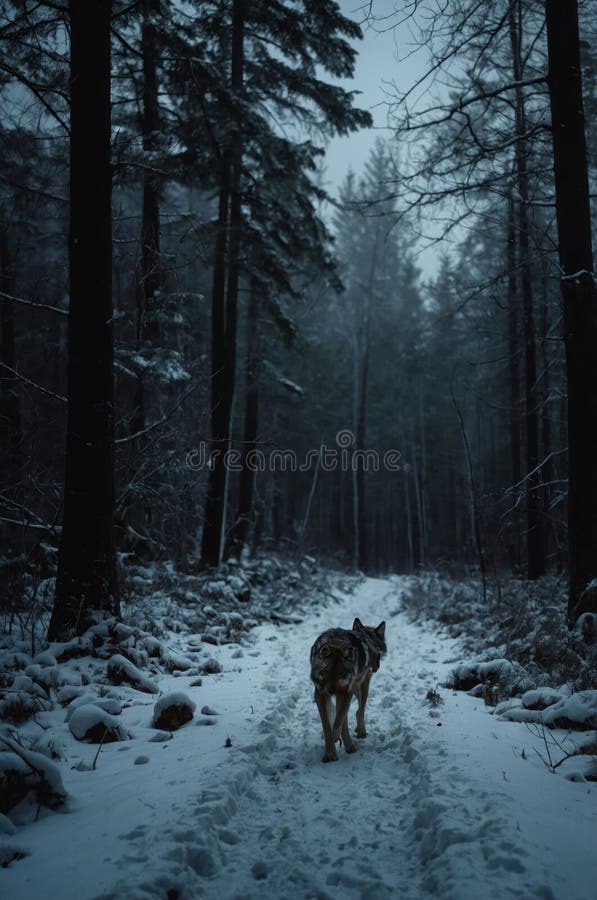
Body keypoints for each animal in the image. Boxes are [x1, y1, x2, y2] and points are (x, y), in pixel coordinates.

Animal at [310, 617, 386, 762]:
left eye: (340, 673)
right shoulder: (321, 694)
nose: (331, 691)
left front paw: (339, 739)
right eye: (326, 672)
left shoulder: (347, 691)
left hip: (349, 691)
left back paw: (349, 745)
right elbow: (328, 726)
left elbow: (341, 718)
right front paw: (330, 753)